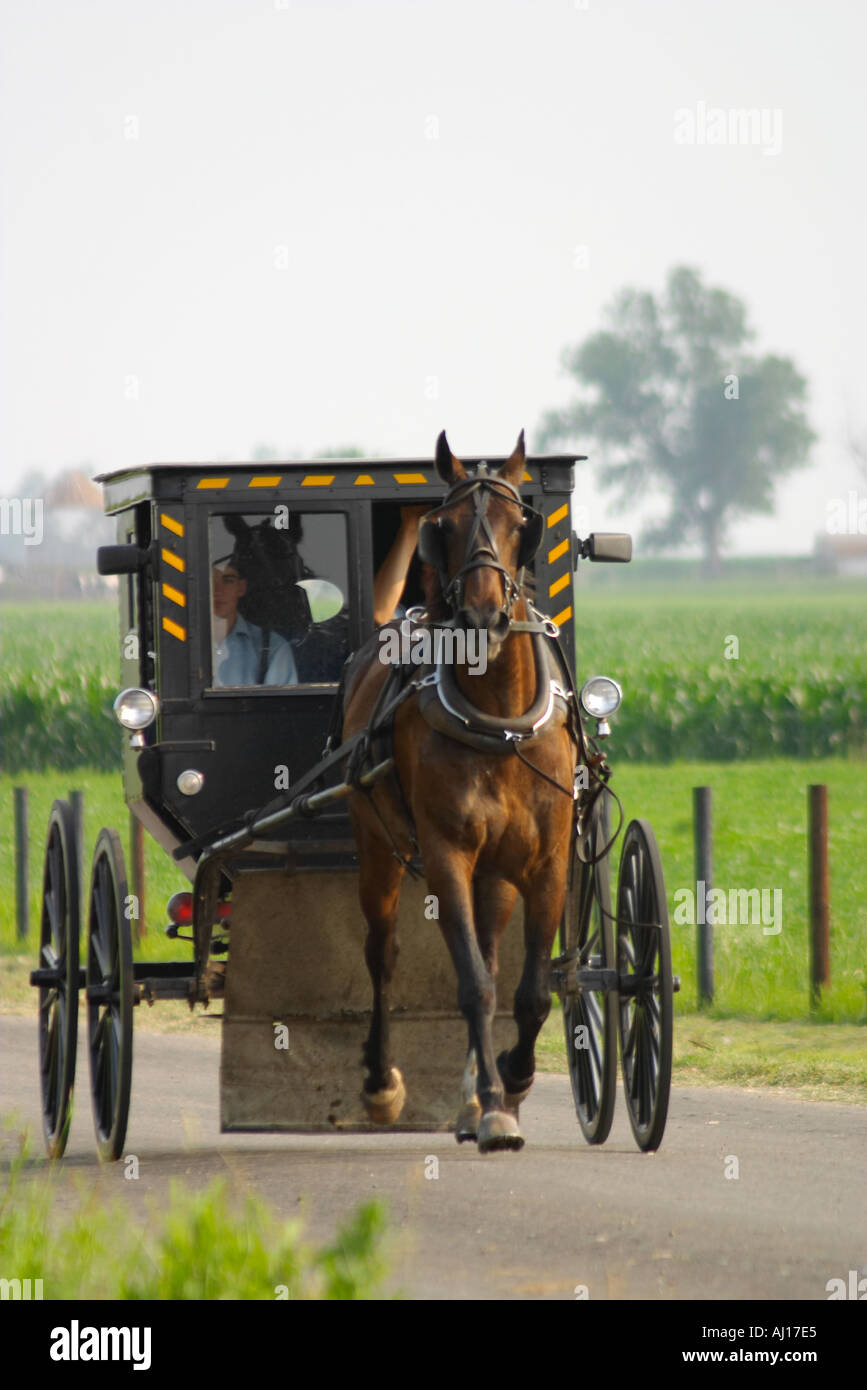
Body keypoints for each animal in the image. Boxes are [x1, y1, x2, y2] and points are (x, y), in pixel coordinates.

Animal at [341, 430, 580, 1152]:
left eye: (521, 524)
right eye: (440, 527)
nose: (480, 616)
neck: (498, 722)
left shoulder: (548, 862)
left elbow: (528, 991)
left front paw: (510, 1082)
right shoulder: (446, 854)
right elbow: (472, 984)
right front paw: (496, 1103)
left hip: (498, 872)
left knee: (495, 952)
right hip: (377, 847)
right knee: (382, 952)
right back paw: (383, 1082)